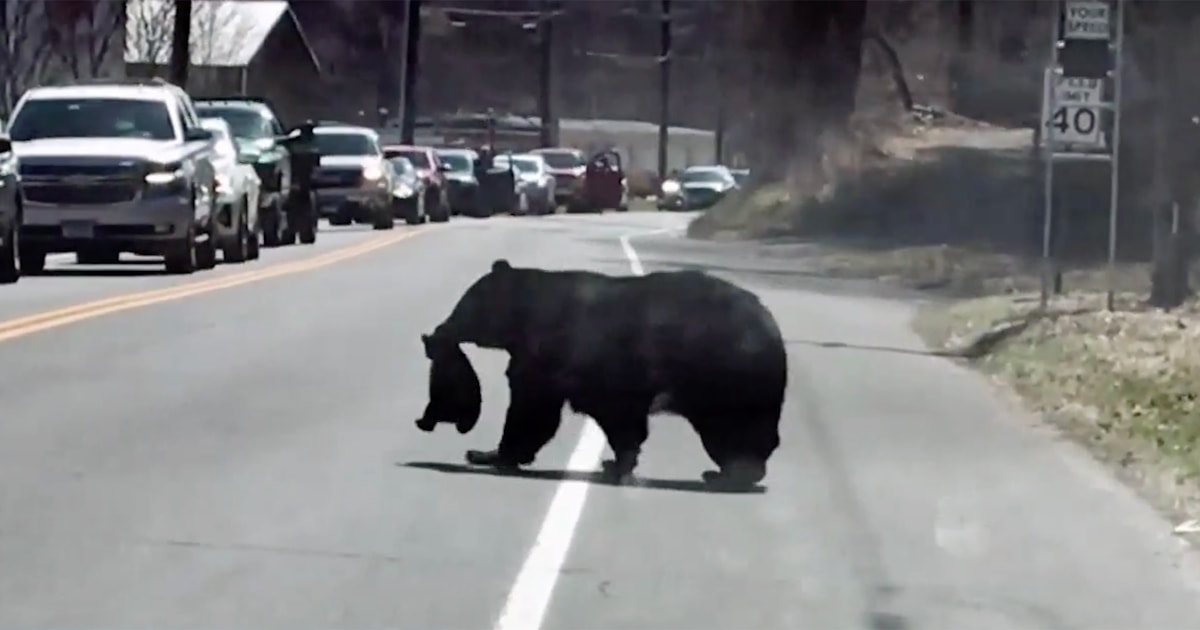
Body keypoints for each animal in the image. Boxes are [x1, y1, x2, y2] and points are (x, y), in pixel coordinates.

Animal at [424, 258, 787, 489]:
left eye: (463, 305)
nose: (439, 330)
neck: (526, 315)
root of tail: (774, 329)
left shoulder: (557, 356)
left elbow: (534, 409)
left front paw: (490, 454)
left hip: (727, 380)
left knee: (734, 432)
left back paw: (732, 473)